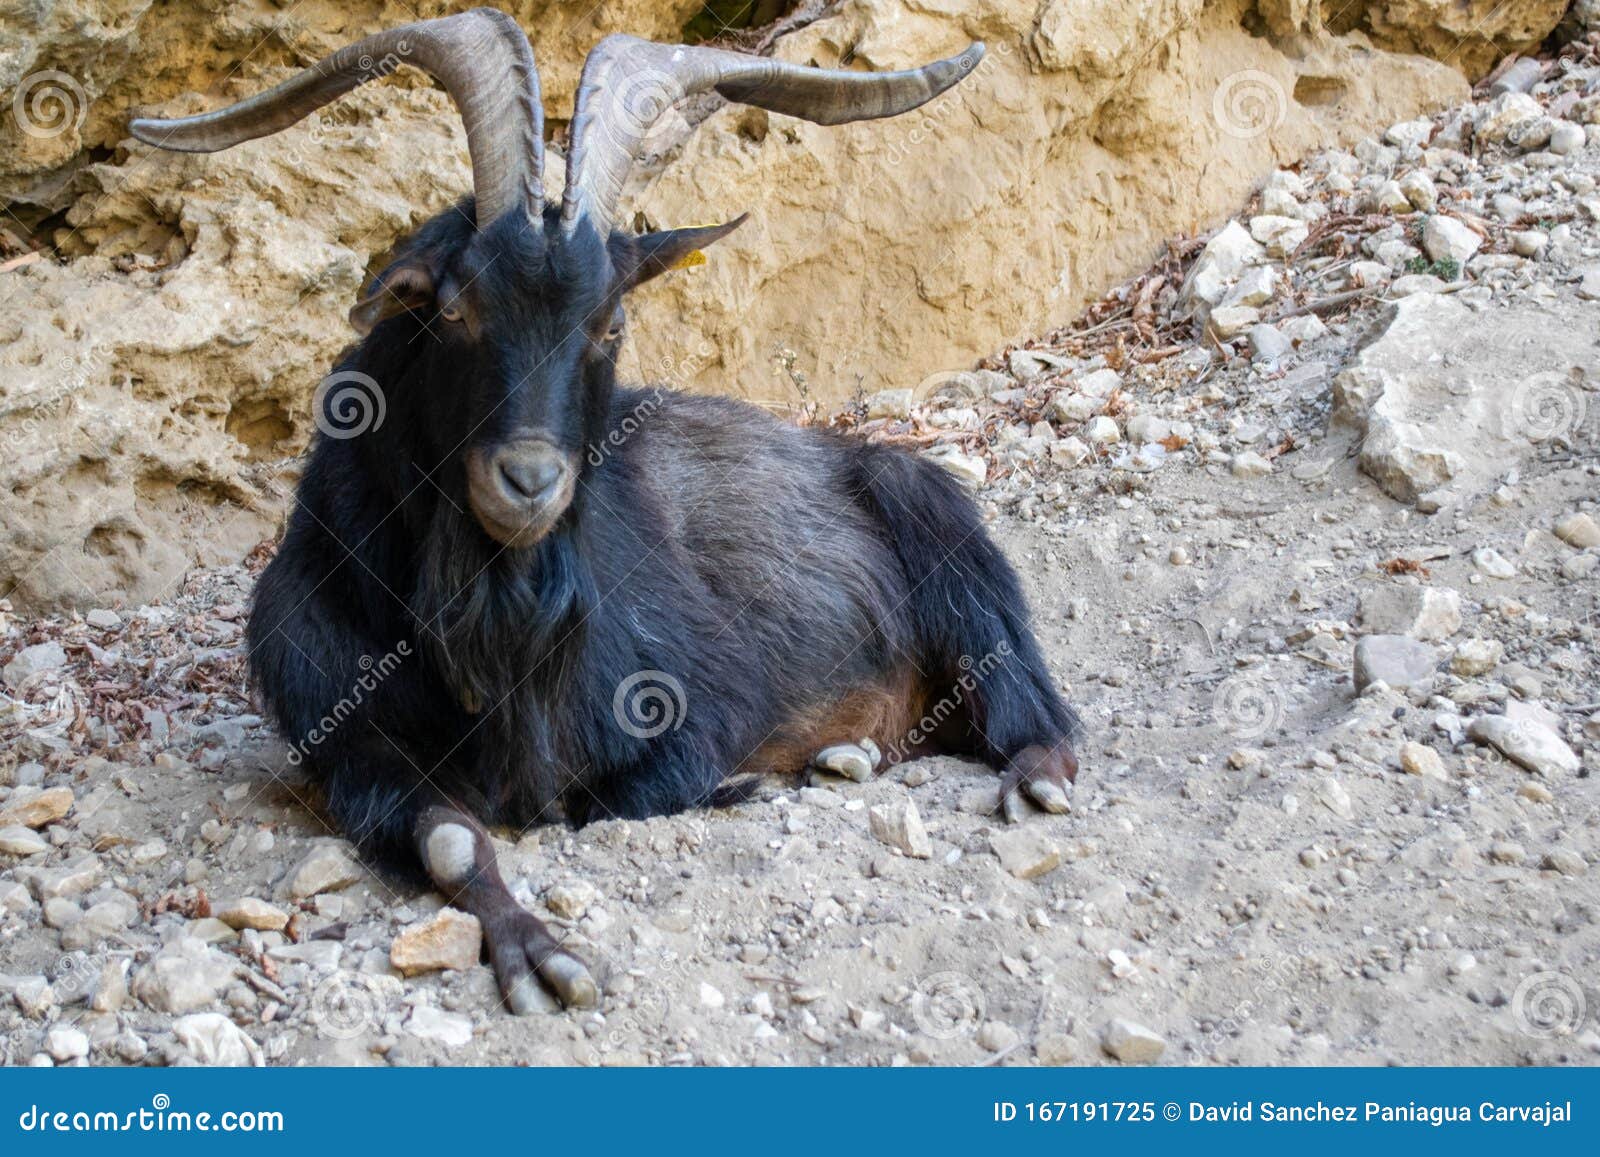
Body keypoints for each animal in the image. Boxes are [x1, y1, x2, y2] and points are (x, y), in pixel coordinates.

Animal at [132, 7, 1082, 1013]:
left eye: (610, 321)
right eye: (453, 308)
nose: (528, 481)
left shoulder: (691, 706)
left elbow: (610, 797)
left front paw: (744, 787)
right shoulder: (347, 737)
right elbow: (452, 837)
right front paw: (538, 953)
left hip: (934, 520)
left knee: (1030, 707)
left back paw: (1026, 779)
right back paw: (847, 758)